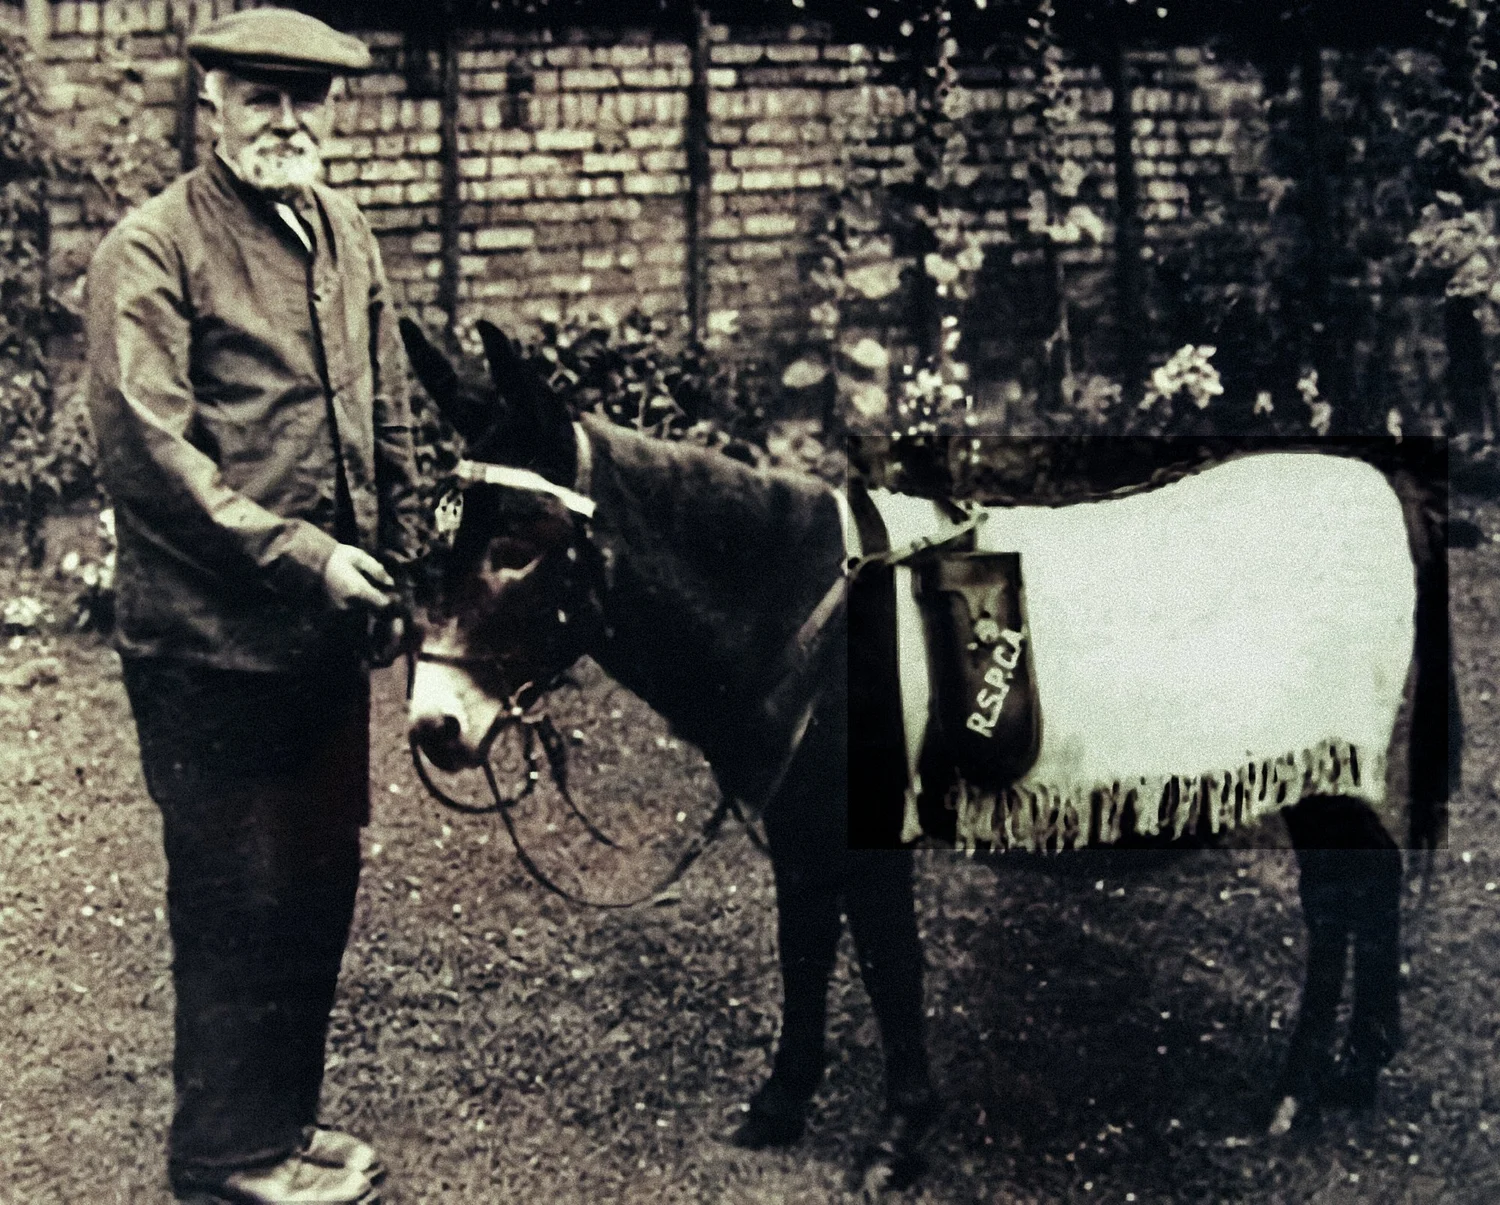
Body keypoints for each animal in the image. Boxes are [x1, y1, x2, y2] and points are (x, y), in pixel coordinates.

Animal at [397, 317, 1456, 1189]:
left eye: (520, 547)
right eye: (433, 541)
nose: (433, 727)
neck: (803, 602)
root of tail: (1380, 491)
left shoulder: (868, 830)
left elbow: (889, 966)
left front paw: (896, 1140)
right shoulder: (802, 828)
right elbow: (806, 953)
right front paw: (780, 1106)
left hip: (1326, 765)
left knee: (1341, 895)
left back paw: (1302, 1086)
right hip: (1322, 772)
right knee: (1366, 882)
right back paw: (1355, 1067)